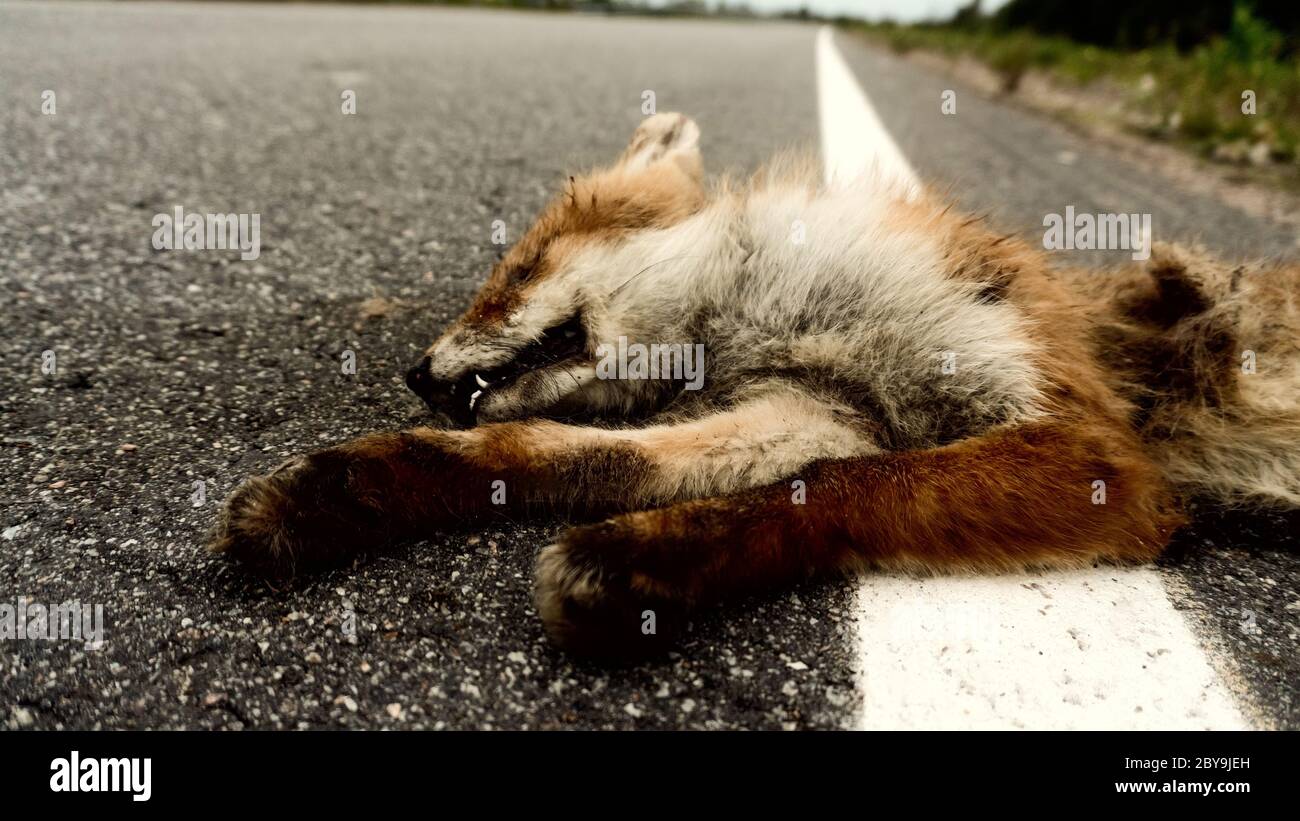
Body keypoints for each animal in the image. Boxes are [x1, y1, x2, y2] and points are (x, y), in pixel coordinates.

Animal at [210, 112, 1300, 657]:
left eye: (511, 271)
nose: (414, 373)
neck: (776, 319)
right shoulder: (816, 408)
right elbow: (570, 457)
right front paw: (348, 493)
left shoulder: (1094, 448)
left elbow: (851, 490)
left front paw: (642, 561)